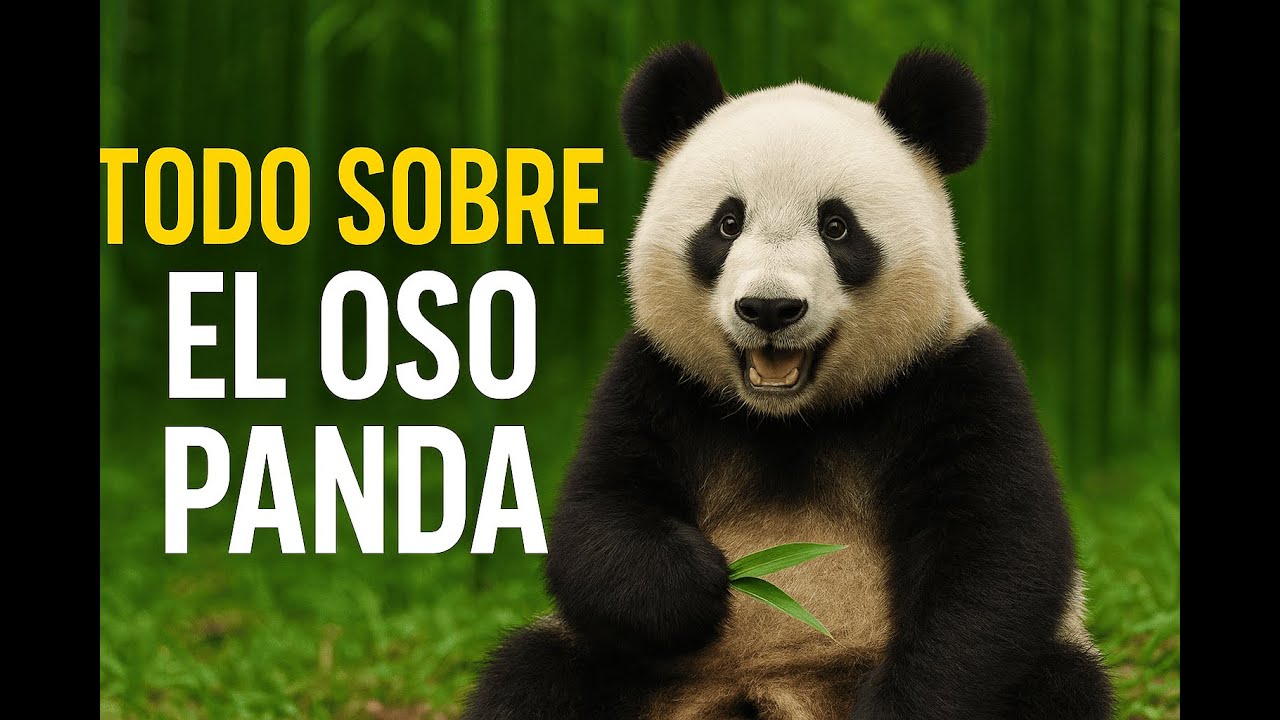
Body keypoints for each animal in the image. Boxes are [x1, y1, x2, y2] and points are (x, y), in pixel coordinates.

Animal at [463, 42, 1114, 720]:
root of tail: (771, 692)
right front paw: (700, 582)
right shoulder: (656, 380)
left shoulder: (955, 377)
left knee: (1054, 683)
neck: (789, 419)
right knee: (534, 674)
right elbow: (597, 514)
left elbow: (994, 559)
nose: (771, 308)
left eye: (837, 226)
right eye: (727, 224)